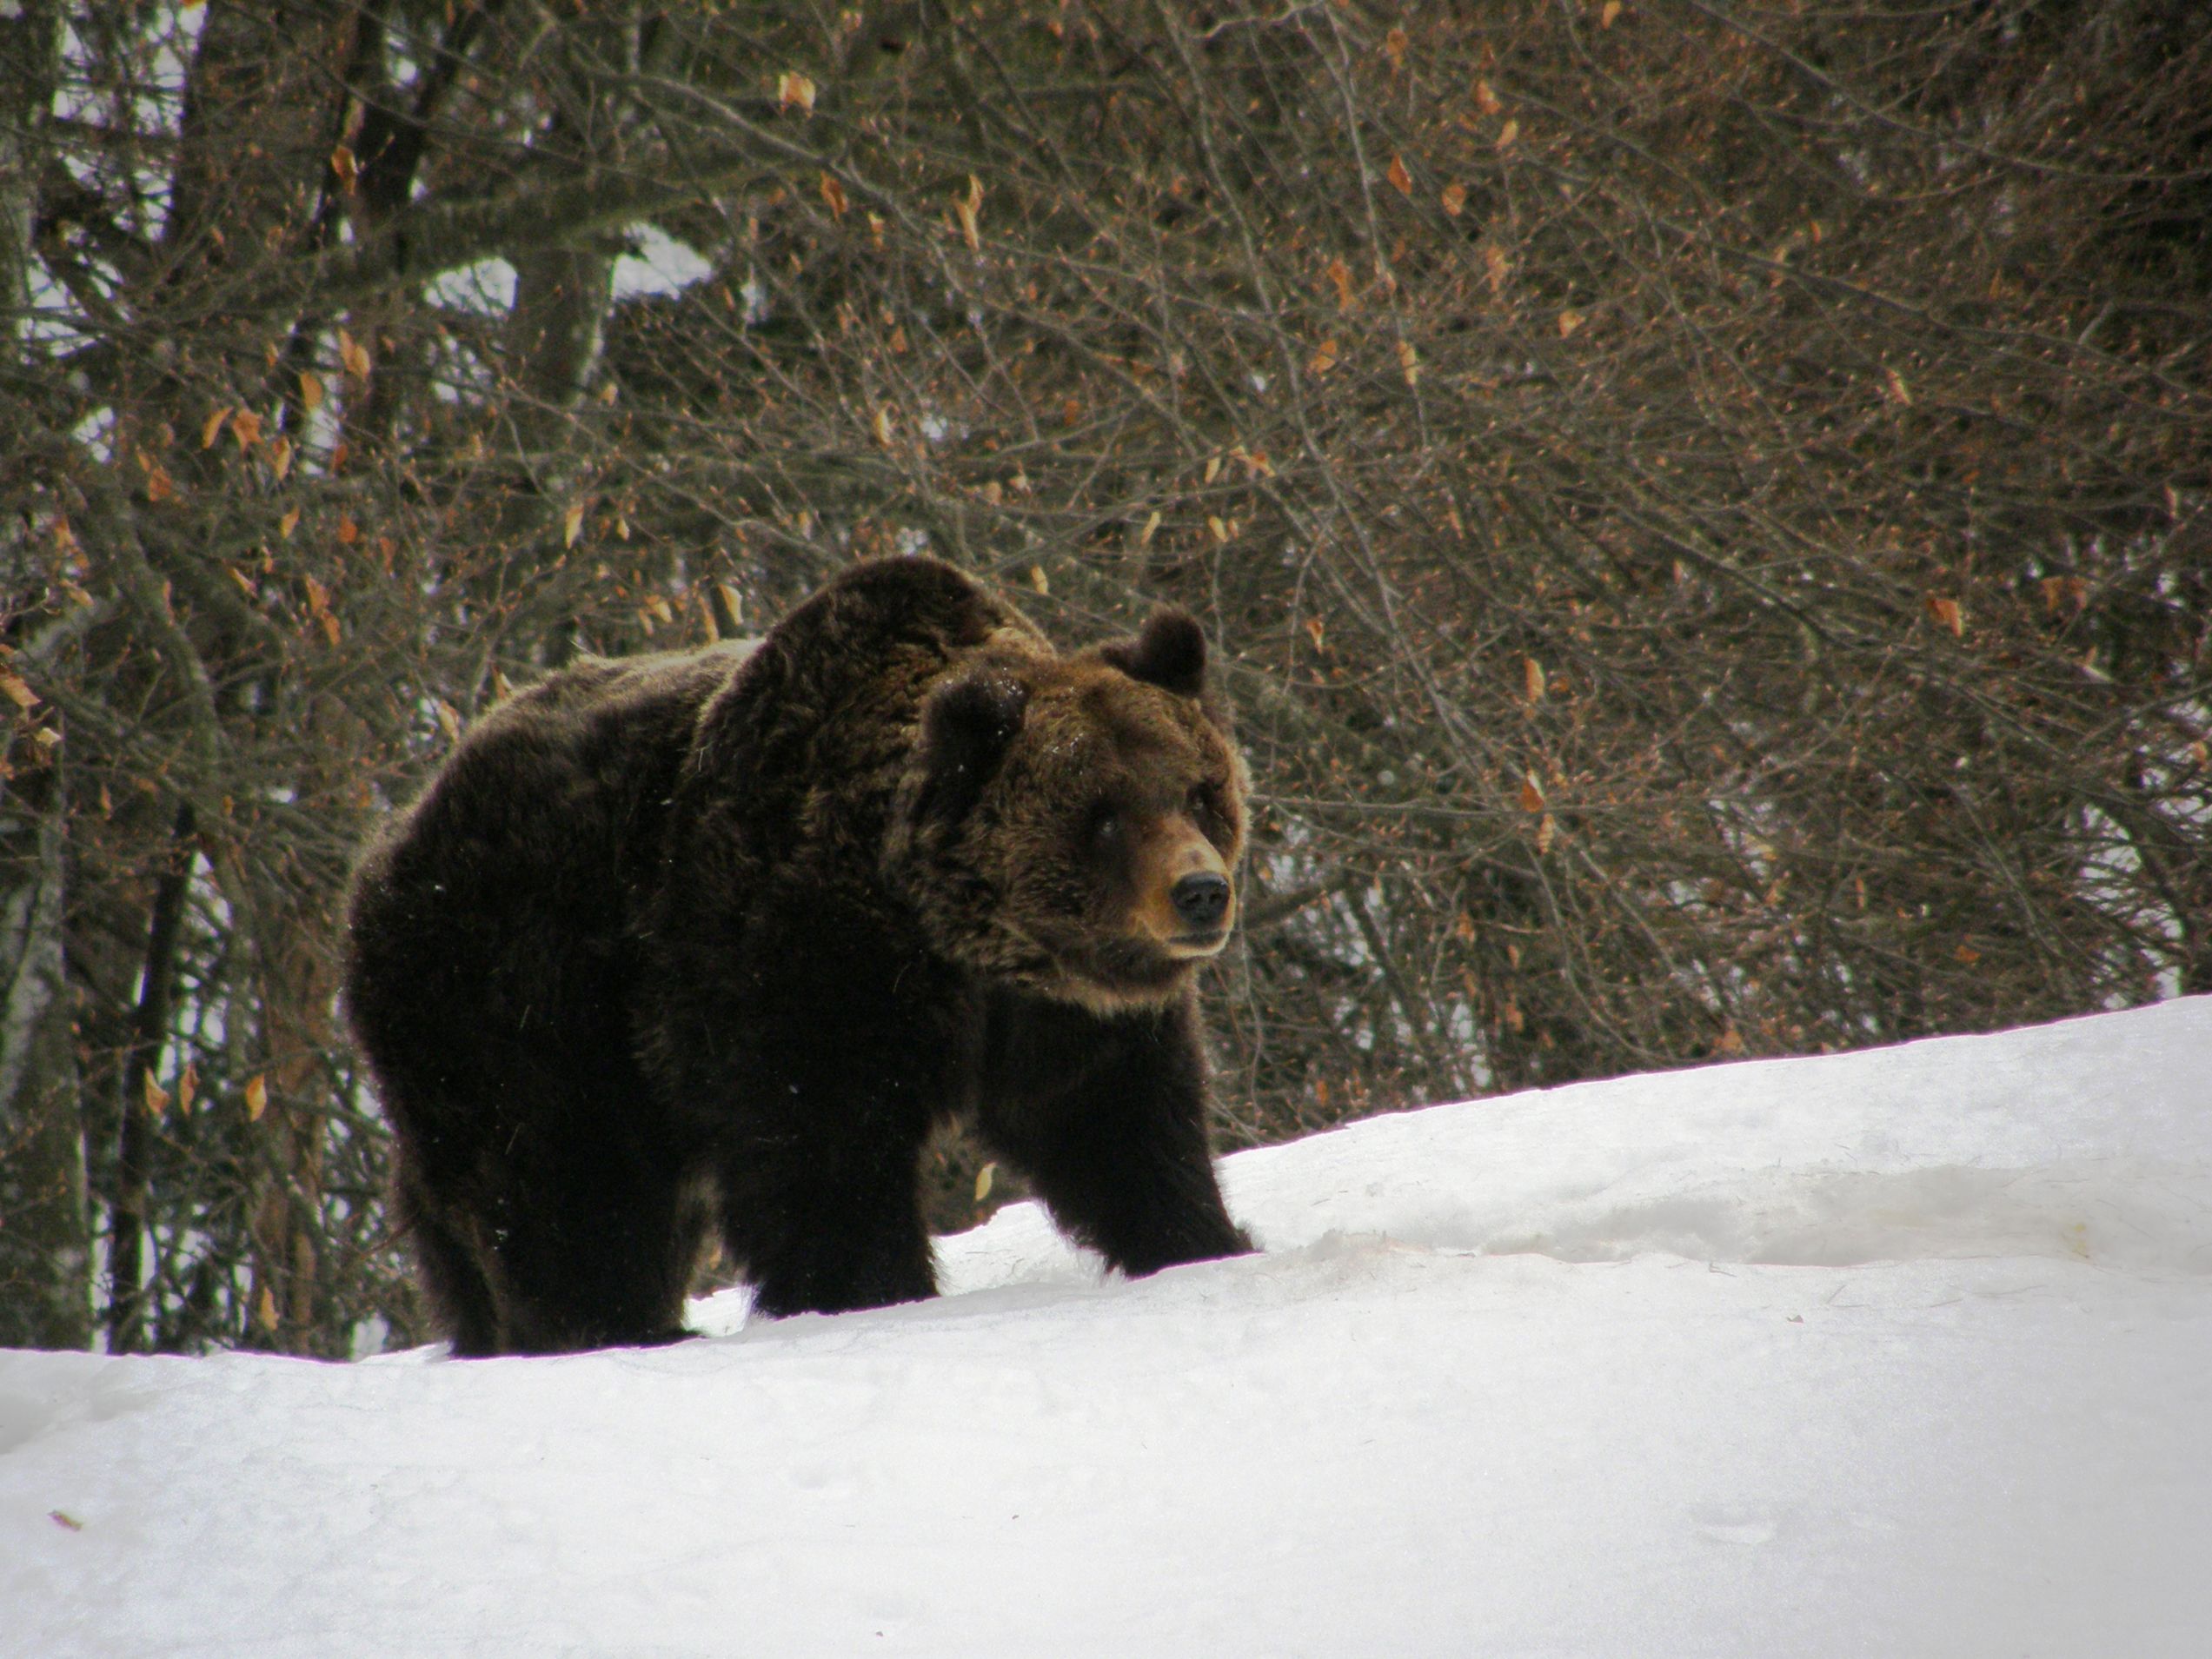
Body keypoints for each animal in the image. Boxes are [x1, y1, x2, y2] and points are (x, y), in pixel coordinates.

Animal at [343, 555, 1253, 1356]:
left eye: (1198, 790)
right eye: (1104, 814)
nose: (1201, 890)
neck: (947, 932)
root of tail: (394, 835)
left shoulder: (1056, 1011)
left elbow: (1120, 1117)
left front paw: (1198, 1238)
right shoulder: (796, 962)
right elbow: (822, 1157)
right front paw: (870, 1290)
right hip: (516, 990)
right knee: (555, 1171)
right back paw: (608, 1325)